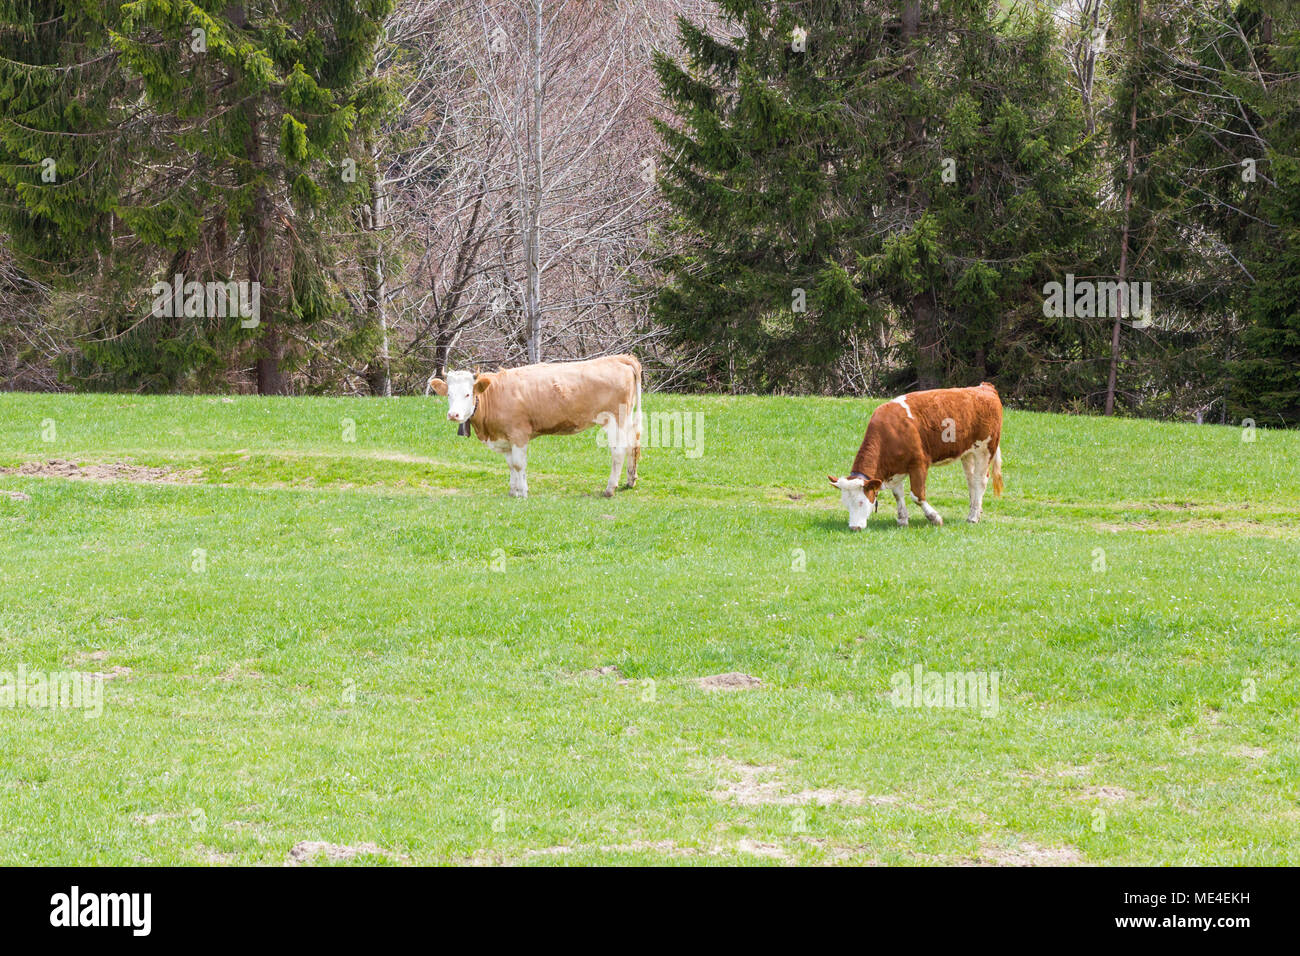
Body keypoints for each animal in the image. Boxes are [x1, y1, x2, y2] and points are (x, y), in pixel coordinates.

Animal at [426, 354, 642, 499]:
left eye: (468, 394)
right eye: (449, 394)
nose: (453, 415)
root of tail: (619, 358)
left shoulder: (518, 434)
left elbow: (519, 464)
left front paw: (523, 492)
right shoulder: (505, 437)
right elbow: (510, 464)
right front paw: (513, 490)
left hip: (615, 420)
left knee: (618, 452)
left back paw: (610, 488)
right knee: (633, 446)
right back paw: (629, 481)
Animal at [828, 383, 1003, 531]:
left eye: (861, 501)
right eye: (845, 503)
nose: (854, 527)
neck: (890, 433)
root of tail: (984, 387)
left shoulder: (919, 464)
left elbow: (917, 495)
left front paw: (934, 518)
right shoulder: (894, 469)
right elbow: (898, 494)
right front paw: (902, 519)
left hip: (985, 449)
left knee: (980, 481)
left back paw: (973, 517)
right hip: (968, 453)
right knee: (971, 481)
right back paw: (976, 510)